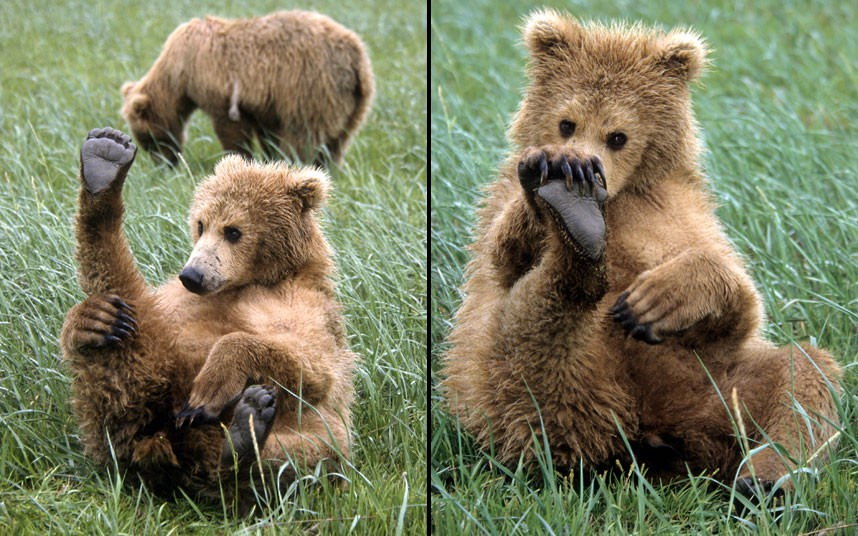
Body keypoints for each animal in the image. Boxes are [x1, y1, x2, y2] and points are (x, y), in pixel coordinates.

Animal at [60, 127, 356, 509]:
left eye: (233, 231)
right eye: (201, 224)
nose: (192, 275)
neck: (255, 280)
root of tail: (163, 445)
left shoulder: (307, 308)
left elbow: (312, 367)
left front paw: (210, 389)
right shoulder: (175, 299)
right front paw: (84, 319)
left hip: (310, 430)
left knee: (310, 453)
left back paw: (243, 438)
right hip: (144, 373)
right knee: (124, 331)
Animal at [120, 10, 374, 167]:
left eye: (148, 138)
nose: (165, 166)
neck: (179, 74)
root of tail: (355, 56)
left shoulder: (218, 86)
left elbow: (232, 130)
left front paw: (237, 158)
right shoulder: (264, 103)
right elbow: (267, 132)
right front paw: (268, 156)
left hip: (310, 86)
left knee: (303, 135)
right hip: (356, 100)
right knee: (340, 139)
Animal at [441, 10, 842, 497]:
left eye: (618, 135)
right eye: (567, 123)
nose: (585, 169)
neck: (618, 200)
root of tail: (640, 438)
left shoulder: (681, 212)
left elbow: (738, 305)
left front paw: (654, 300)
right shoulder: (496, 205)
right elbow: (503, 256)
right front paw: (552, 180)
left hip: (710, 389)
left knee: (803, 374)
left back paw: (765, 481)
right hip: (511, 390)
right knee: (530, 339)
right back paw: (577, 235)